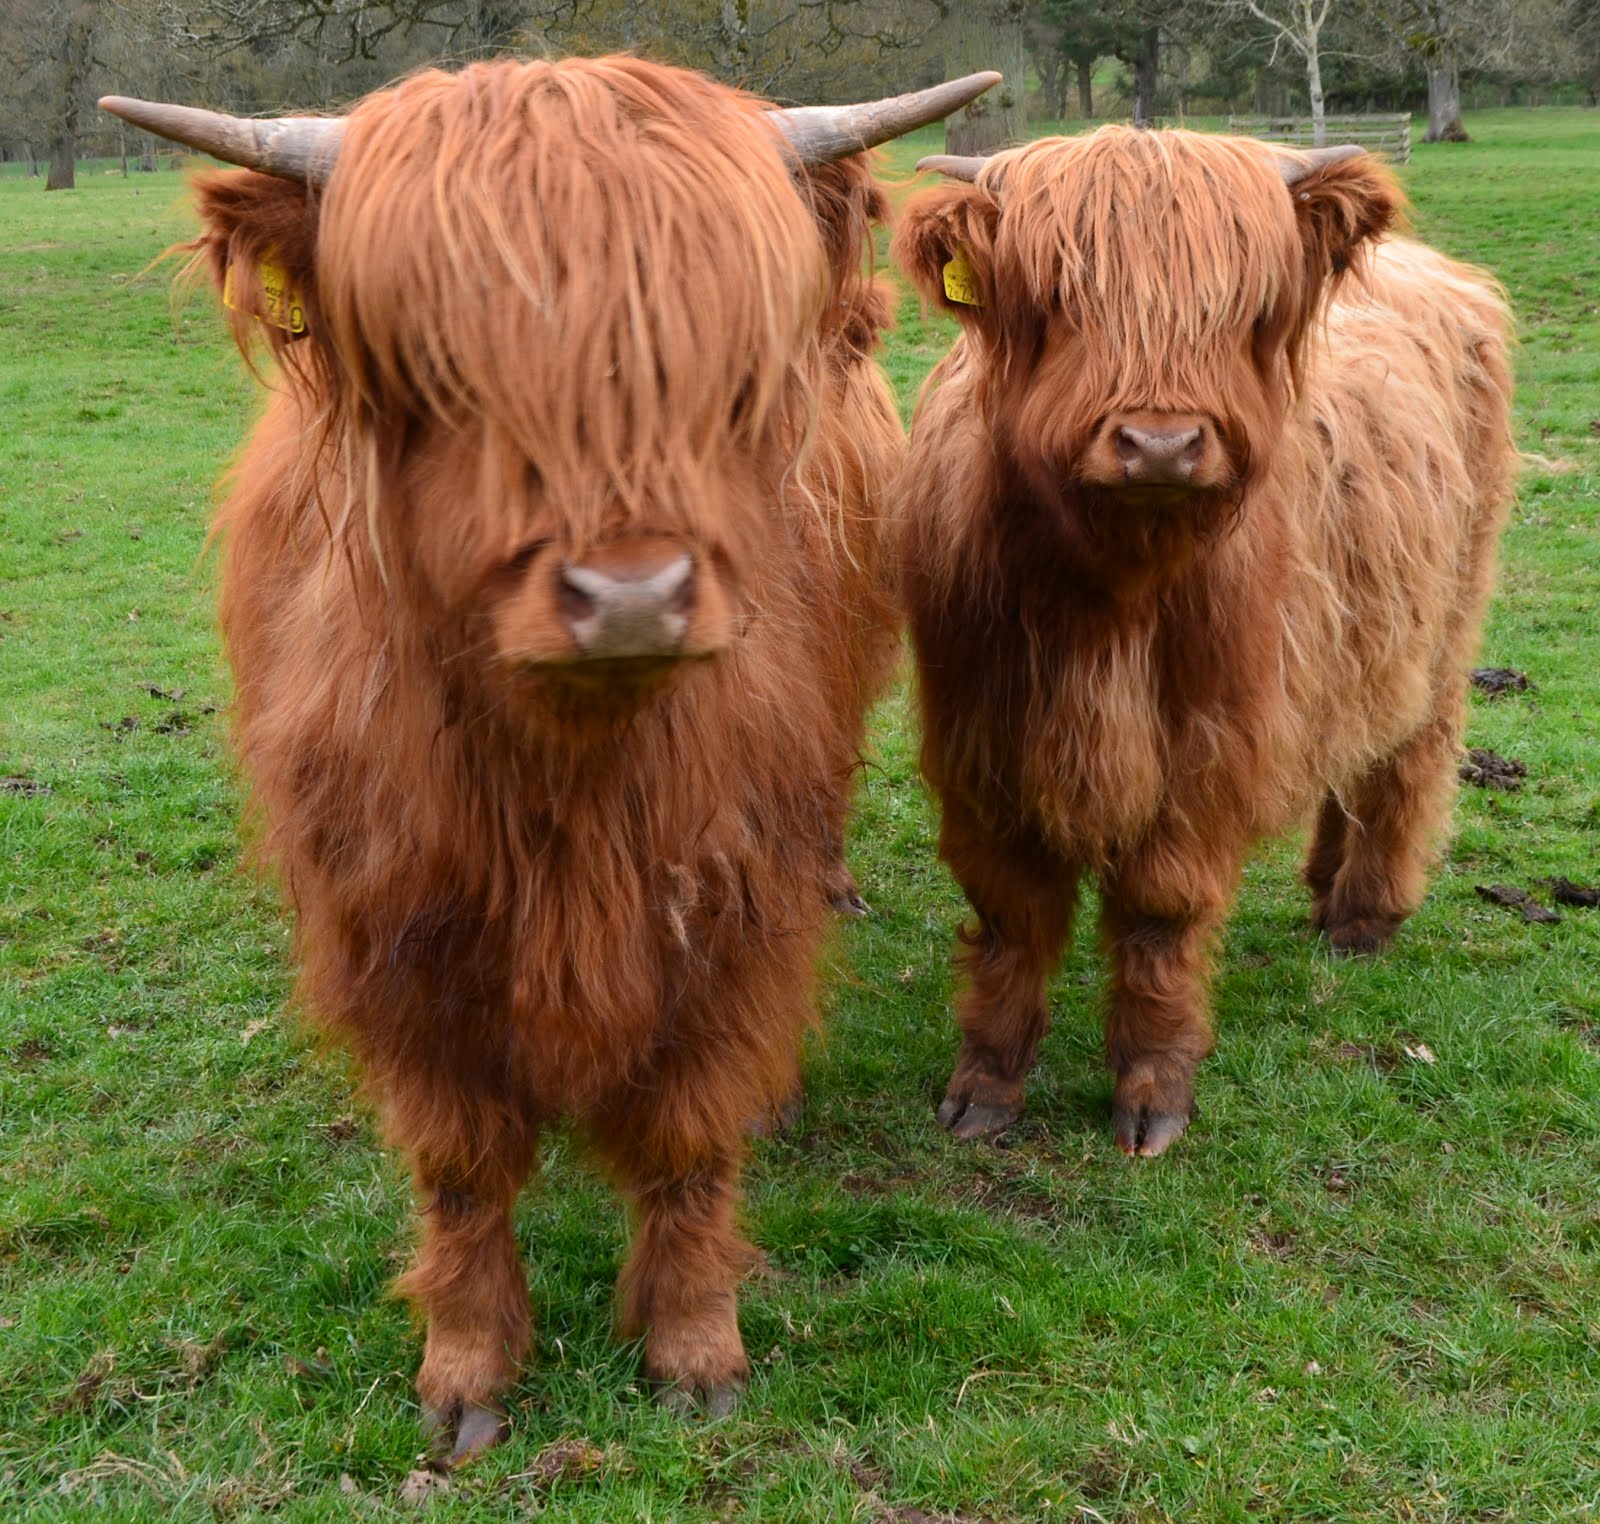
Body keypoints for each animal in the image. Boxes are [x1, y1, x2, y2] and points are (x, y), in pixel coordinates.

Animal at [101, 58, 998, 1461]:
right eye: (438, 368)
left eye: (730, 369)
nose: (629, 596)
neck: (573, 781)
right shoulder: (400, 930)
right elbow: (462, 1167)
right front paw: (467, 1370)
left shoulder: (728, 910)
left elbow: (689, 1139)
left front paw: (694, 1349)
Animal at [890, 127, 1516, 1159]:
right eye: (1058, 298)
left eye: (1243, 306)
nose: (1159, 443)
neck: (1111, 596)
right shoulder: (983, 738)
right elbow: (1011, 912)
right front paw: (984, 1084)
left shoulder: (1204, 747)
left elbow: (1159, 912)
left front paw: (1153, 1092)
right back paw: (1323, 882)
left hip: (1445, 617)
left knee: (1408, 756)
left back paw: (1364, 916)